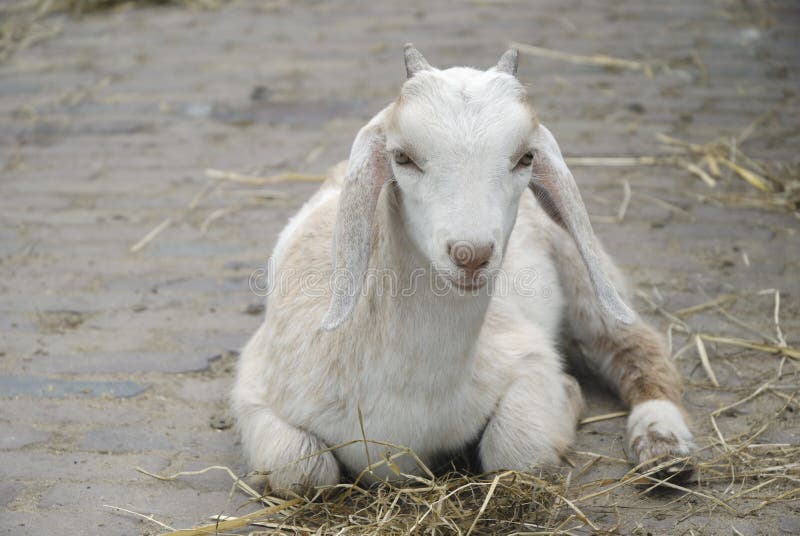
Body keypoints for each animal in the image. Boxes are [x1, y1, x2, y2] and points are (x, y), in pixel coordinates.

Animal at [231, 45, 694, 494]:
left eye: (526, 157)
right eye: (402, 157)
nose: (471, 254)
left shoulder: (528, 357)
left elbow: (515, 451)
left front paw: (570, 395)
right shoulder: (254, 386)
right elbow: (301, 469)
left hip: (583, 273)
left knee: (637, 347)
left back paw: (664, 445)